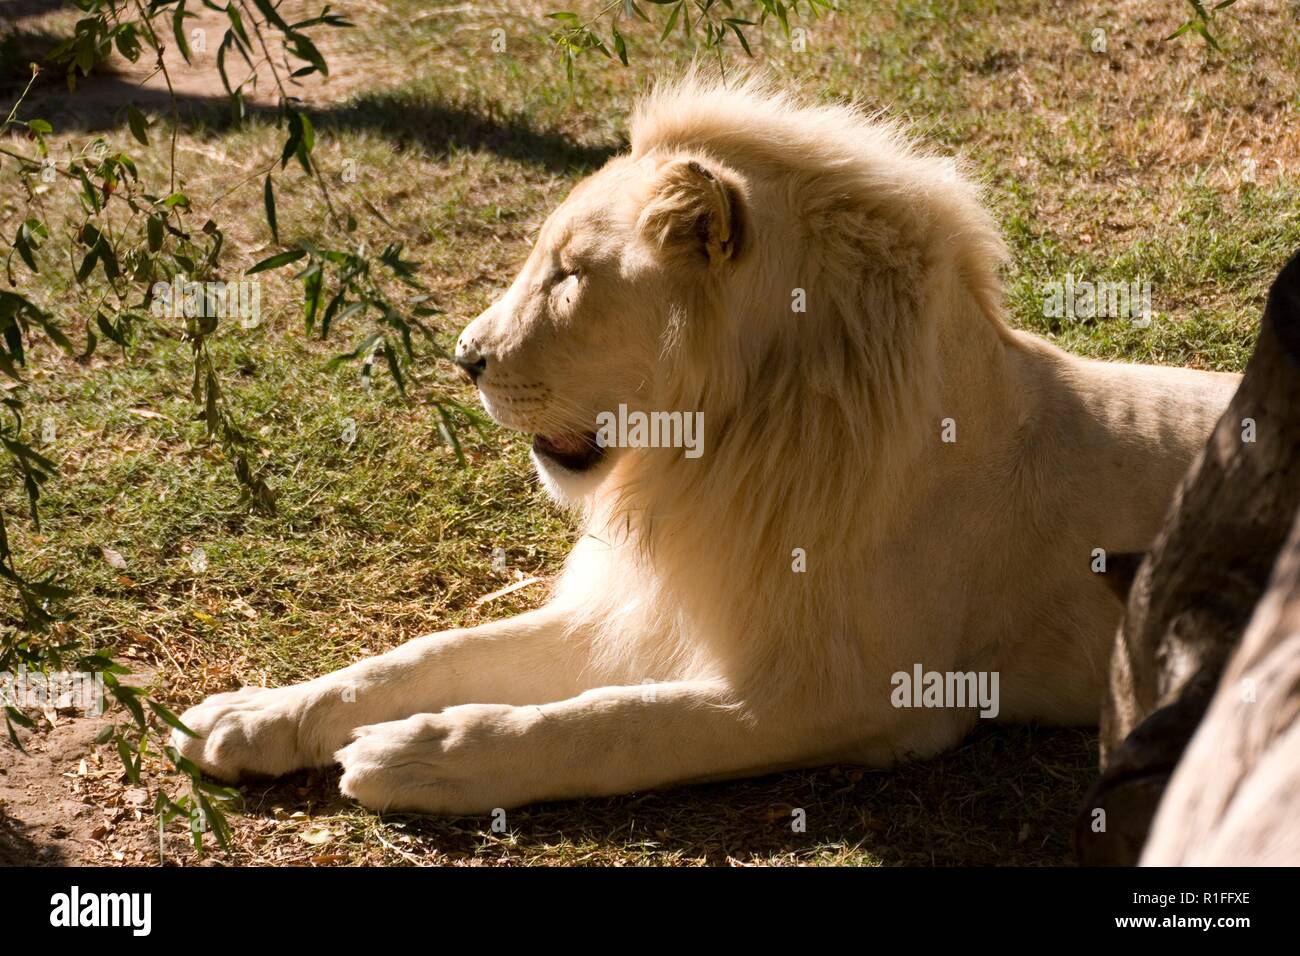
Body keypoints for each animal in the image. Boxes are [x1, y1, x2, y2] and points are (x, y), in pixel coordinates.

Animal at [174, 76, 1240, 814]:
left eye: (569, 275)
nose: (464, 358)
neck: (713, 456)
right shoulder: (643, 606)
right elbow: (425, 653)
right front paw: (248, 716)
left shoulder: (865, 696)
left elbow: (623, 724)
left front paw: (420, 757)